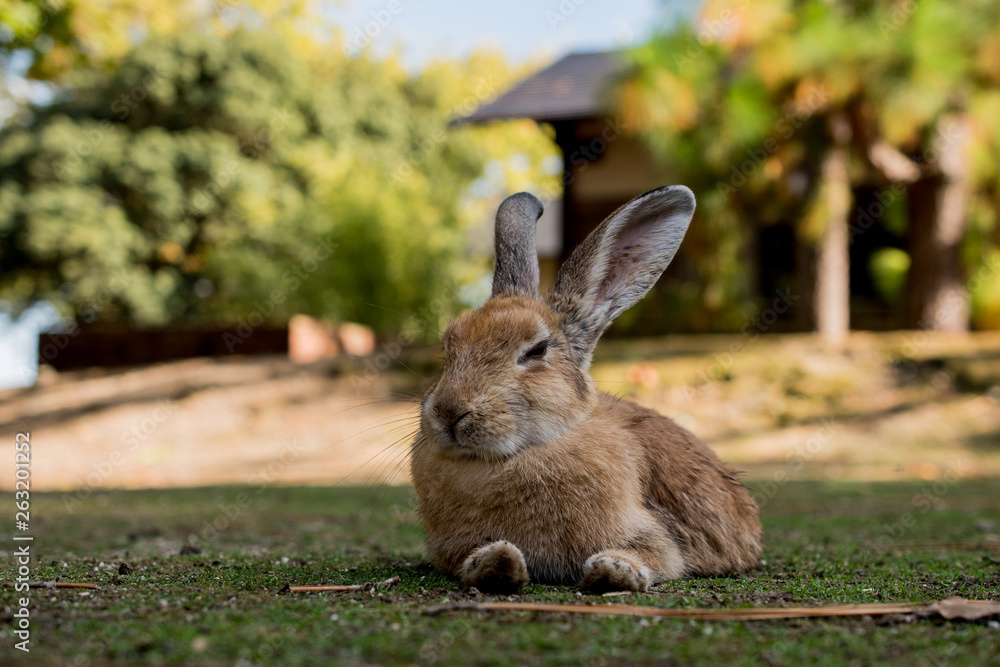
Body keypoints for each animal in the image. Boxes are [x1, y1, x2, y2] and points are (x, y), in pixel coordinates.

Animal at [409, 185, 762, 594]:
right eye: (448, 346)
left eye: (536, 350)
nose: (449, 412)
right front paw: (496, 561)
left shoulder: (658, 537)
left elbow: (654, 556)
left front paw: (614, 569)